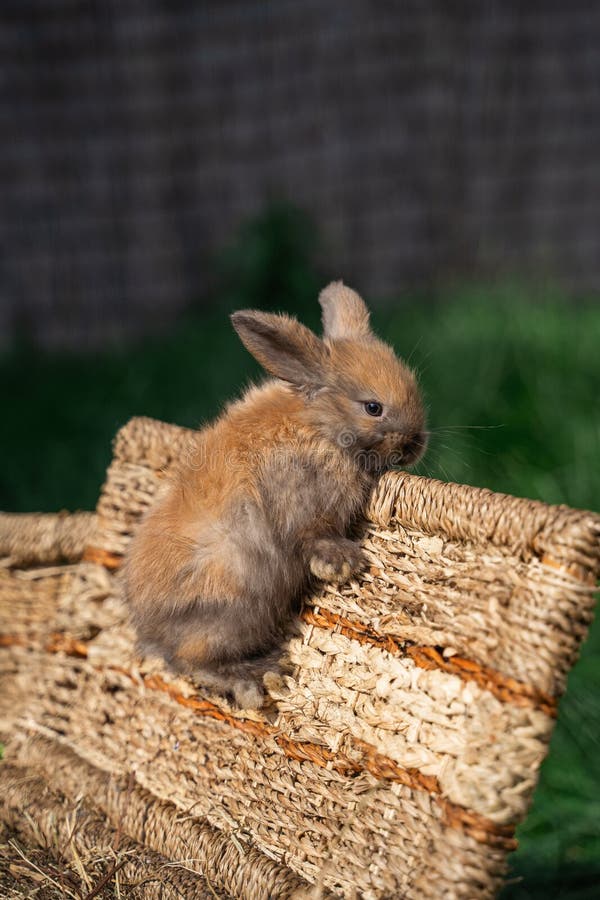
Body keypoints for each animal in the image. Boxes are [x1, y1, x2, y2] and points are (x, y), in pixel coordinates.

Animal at [125, 281, 427, 708]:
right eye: (373, 407)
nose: (417, 444)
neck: (319, 425)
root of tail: (150, 632)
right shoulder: (305, 508)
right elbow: (313, 536)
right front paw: (343, 564)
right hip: (240, 610)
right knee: (192, 663)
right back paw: (257, 678)